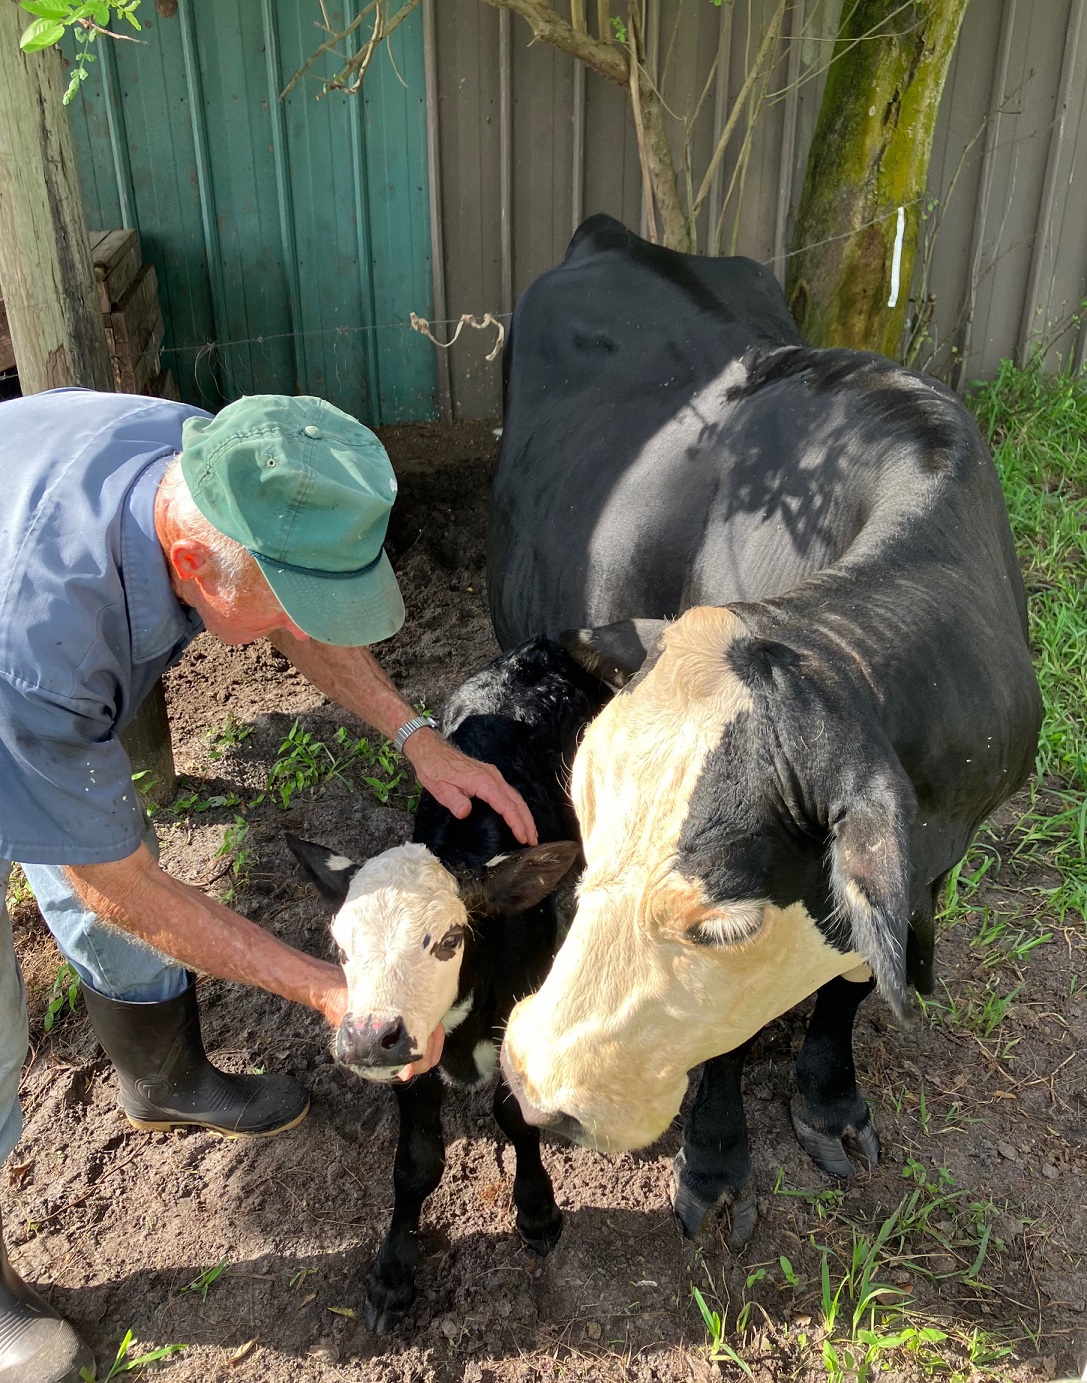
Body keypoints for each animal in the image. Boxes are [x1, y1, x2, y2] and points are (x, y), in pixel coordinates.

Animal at [287, 636, 610, 1331]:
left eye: (449, 940)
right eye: (341, 946)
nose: (365, 1039)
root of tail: (535, 651)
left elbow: (515, 1117)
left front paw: (537, 1211)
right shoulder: (414, 1054)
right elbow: (416, 1163)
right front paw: (392, 1275)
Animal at [491, 214, 1043, 1246]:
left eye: (721, 927)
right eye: (588, 839)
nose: (537, 1084)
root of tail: (614, 232)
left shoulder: (928, 854)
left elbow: (854, 978)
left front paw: (829, 1101)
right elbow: (722, 1041)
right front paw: (714, 1166)